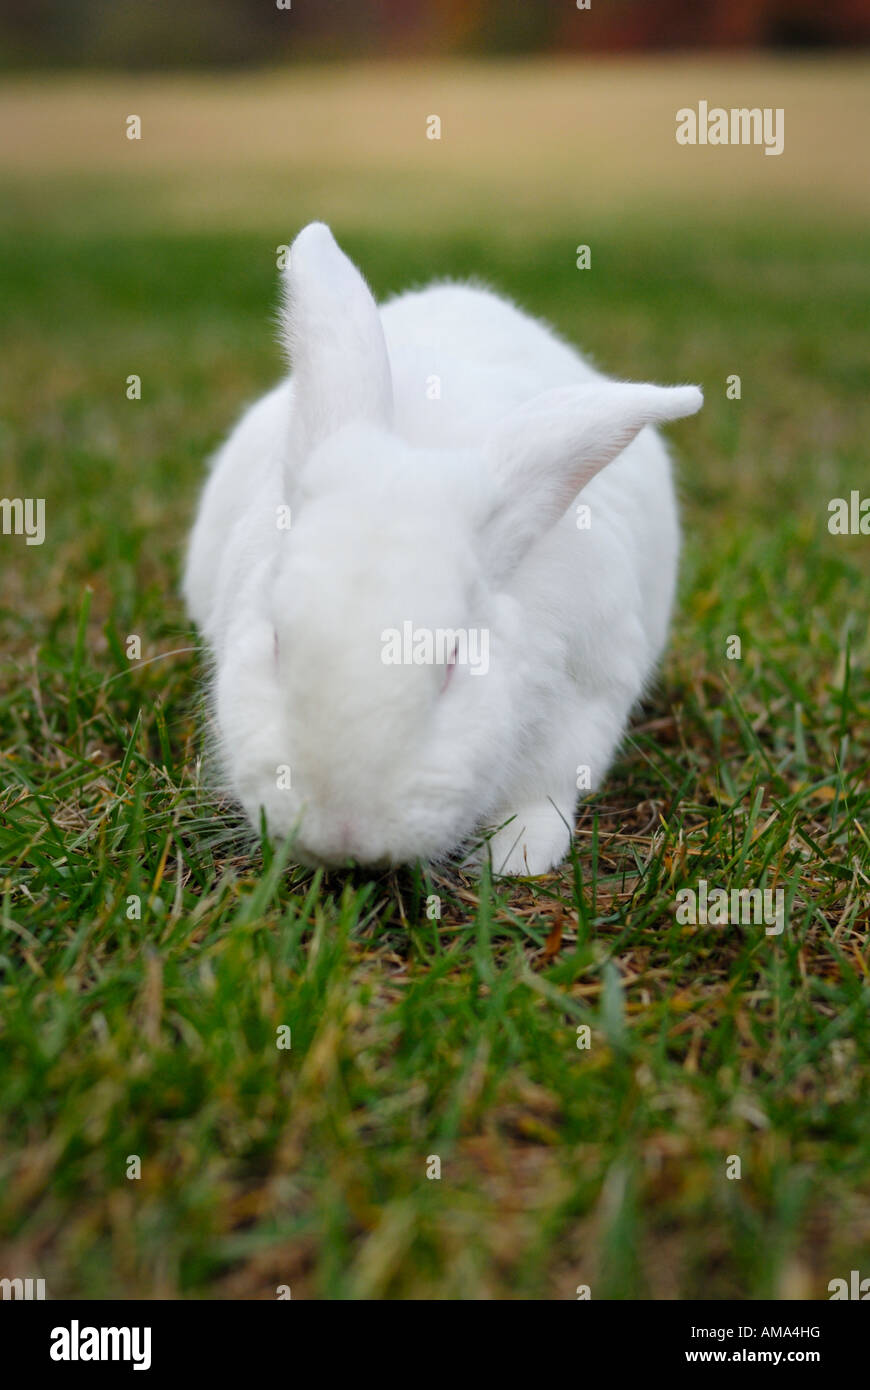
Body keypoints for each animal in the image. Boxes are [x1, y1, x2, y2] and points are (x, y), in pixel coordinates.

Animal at [183, 222, 702, 876]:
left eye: (455, 660)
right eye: (276, 643)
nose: (342, 834)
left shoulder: (588, 698)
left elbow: (545, 792)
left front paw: (515, 856)